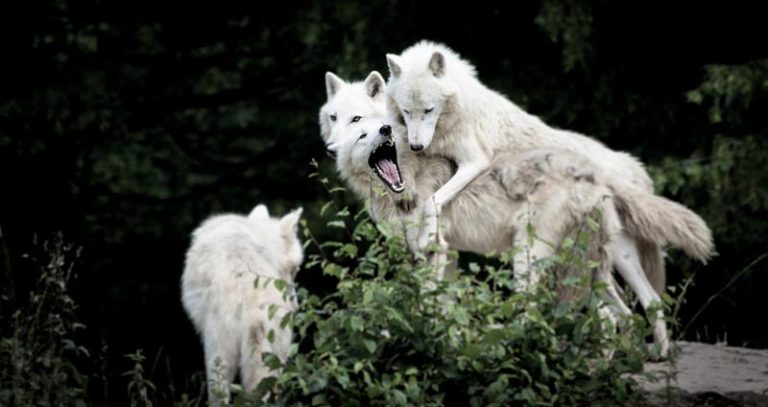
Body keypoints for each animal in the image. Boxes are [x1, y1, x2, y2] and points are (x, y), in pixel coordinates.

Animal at [384, 41, 715, 297]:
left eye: (428, 110)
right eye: (406, 111)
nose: (416, 146)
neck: (462, 108)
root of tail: (633, 168)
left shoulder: (474, 160)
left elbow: (432, 201)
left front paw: (425, 238)